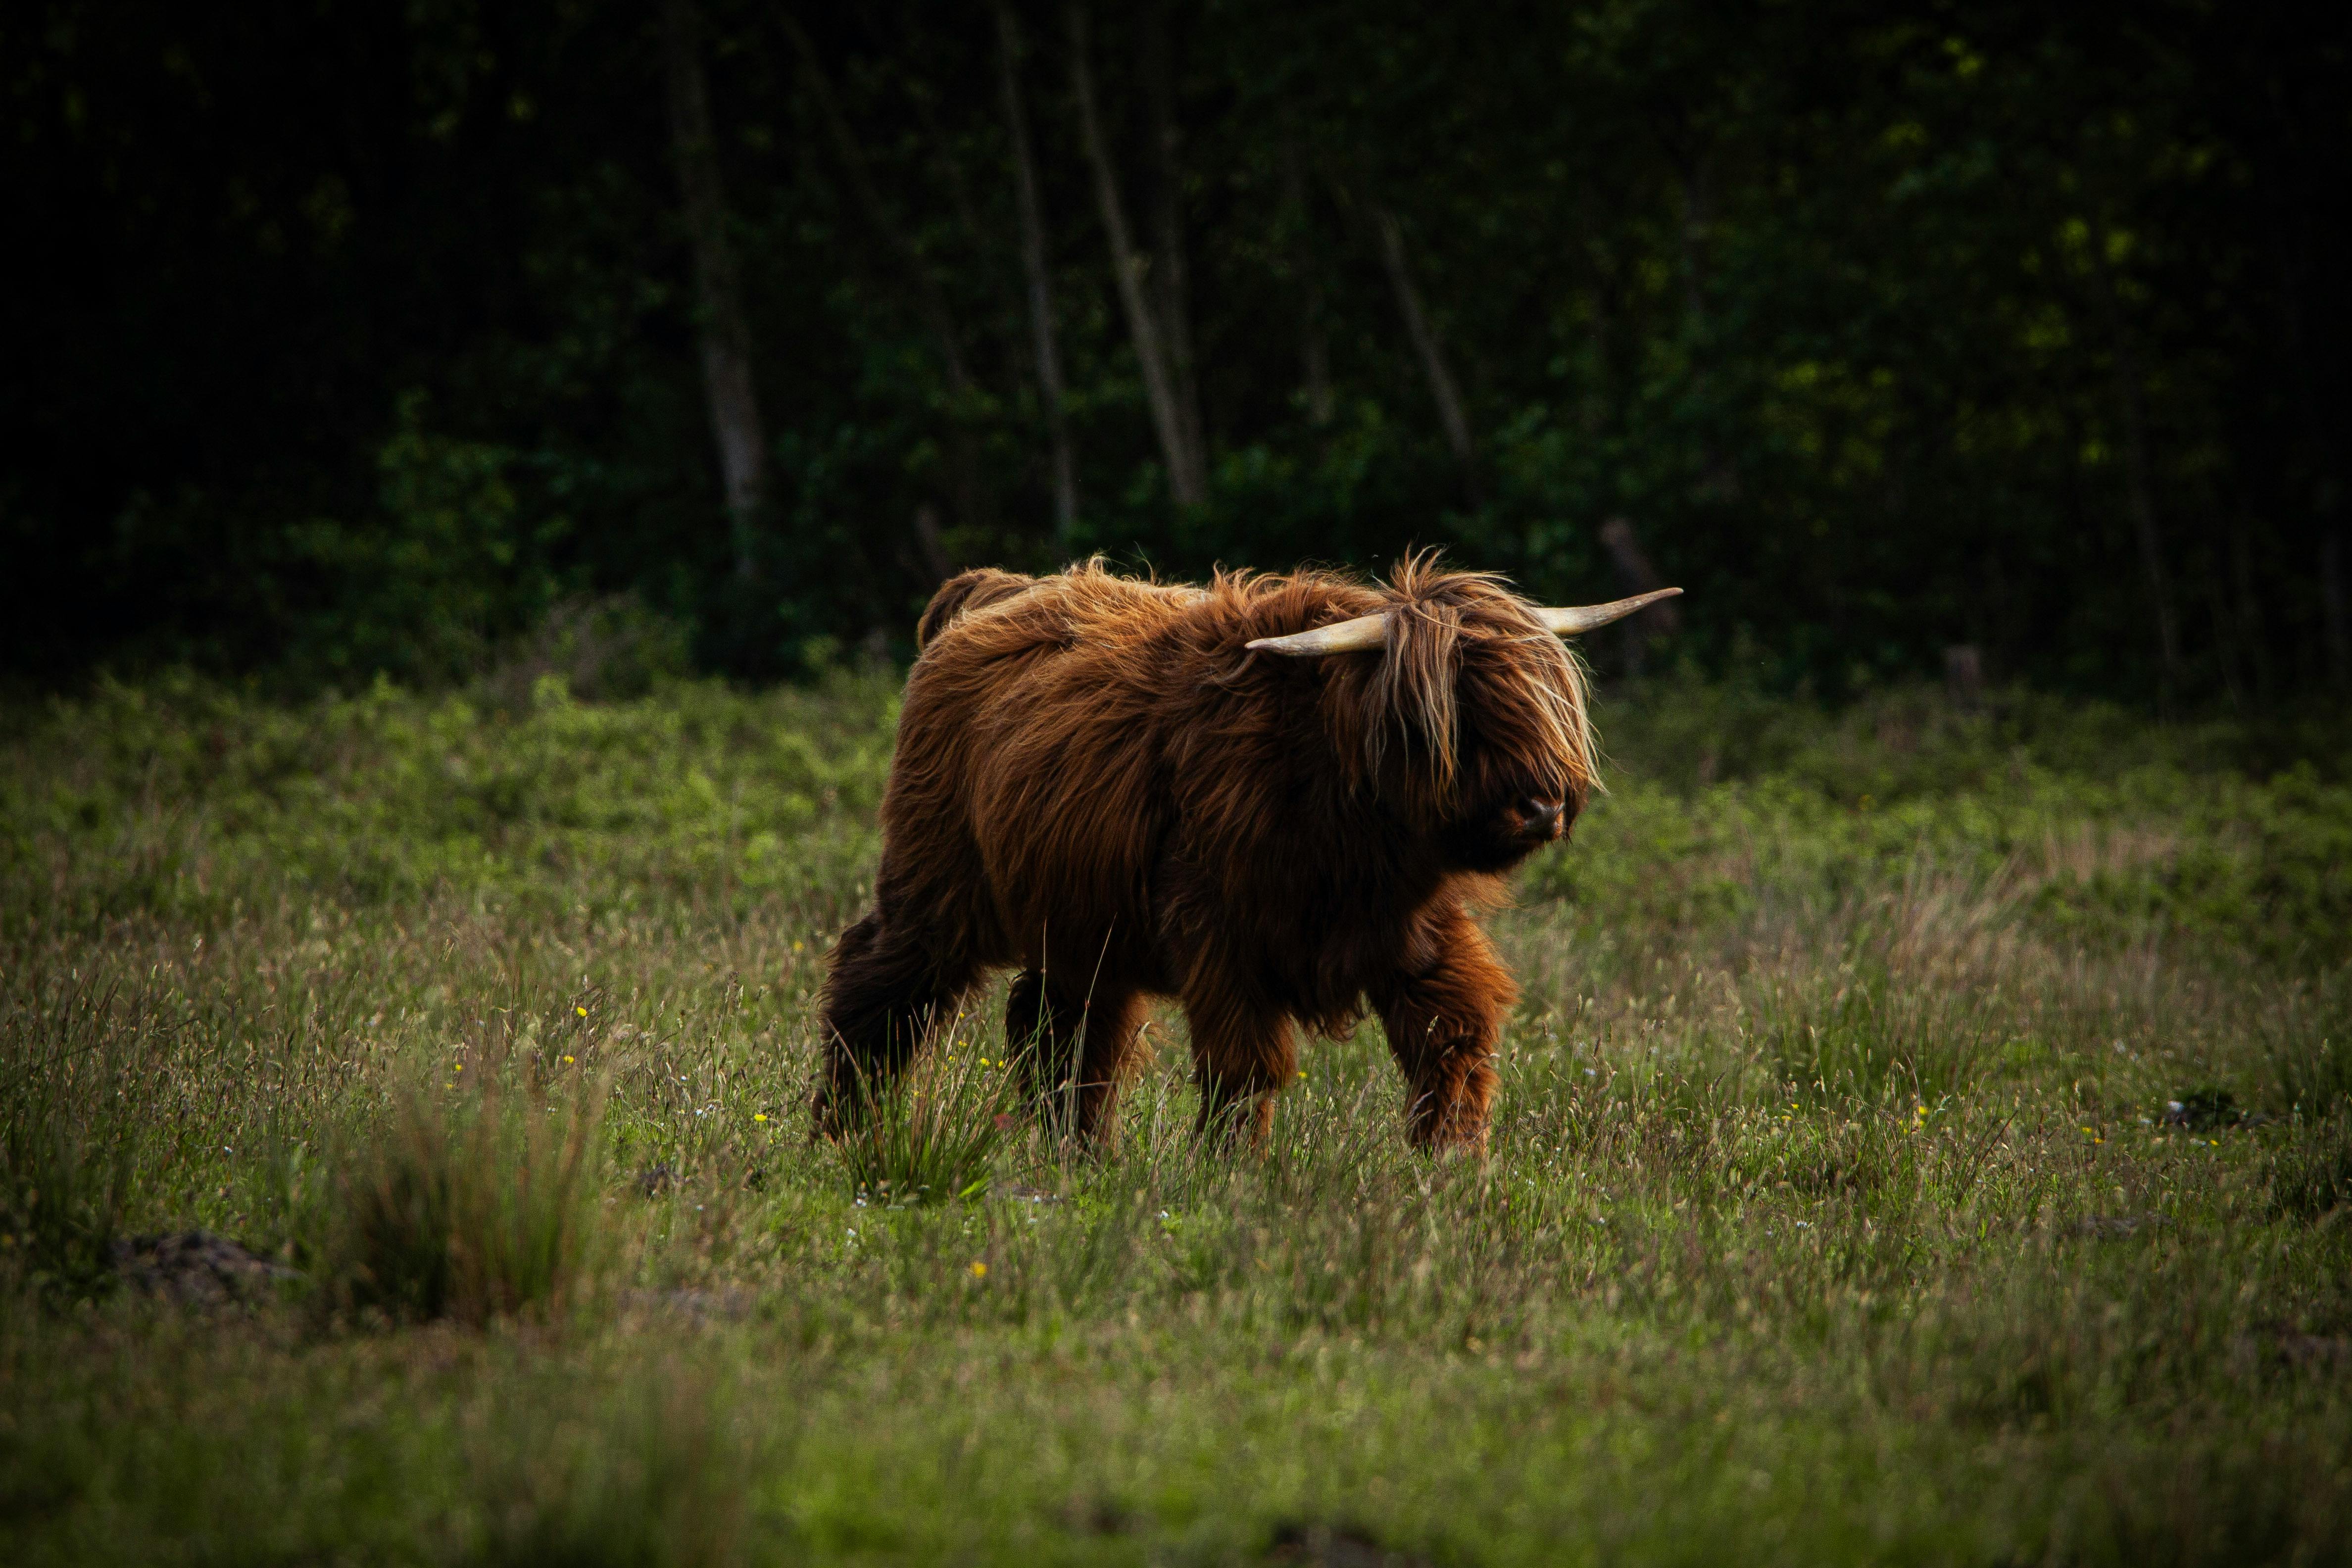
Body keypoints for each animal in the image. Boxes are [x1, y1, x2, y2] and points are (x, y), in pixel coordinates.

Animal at [813, 557, 1679, 1155]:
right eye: (1452, 708)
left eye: (1540, 696)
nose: (1543, 806)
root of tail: (994, 592)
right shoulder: (1222, 936)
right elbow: (1245, 1066)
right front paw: (1233, 1171)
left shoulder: (1417, 931)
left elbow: (1456, 1037)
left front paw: (1455, 1162)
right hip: (937, 882)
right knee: (879, 986)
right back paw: (840, 1129)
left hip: (1084, 920)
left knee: (1062, 1027)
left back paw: (1079, 1156)